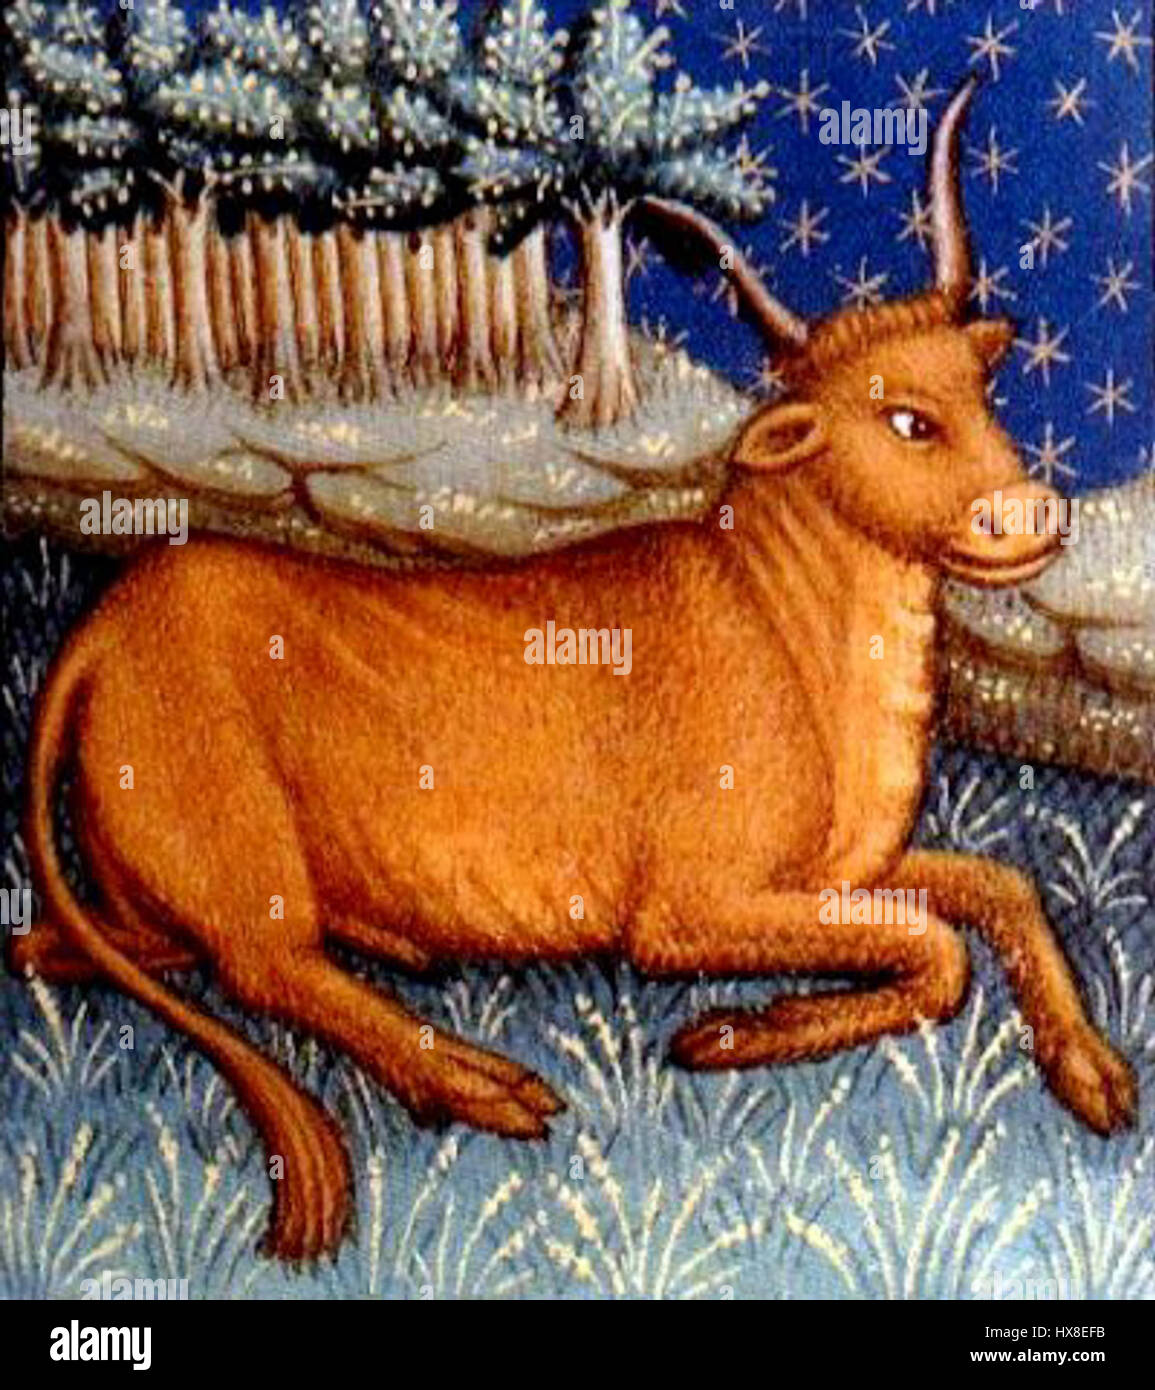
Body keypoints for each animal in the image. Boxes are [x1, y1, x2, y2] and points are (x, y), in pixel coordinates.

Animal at [11, 81, 1135, 1261]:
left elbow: (999, 892)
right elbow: (937, 951)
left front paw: (1094, 1074)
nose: (1032, 515)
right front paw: (735, 1031)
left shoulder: (843, 873)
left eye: (984, 387)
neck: (786, 624)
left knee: (70, 946)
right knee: (262, 968)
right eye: (904, 417)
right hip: (242, 853)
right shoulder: (692, 910)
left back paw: (397, 947)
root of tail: (100, 632)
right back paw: (475, 1079)